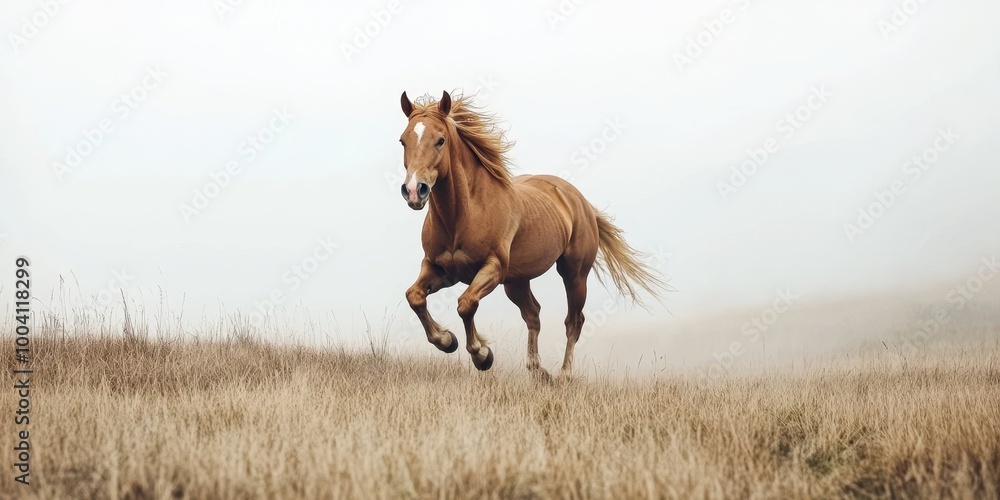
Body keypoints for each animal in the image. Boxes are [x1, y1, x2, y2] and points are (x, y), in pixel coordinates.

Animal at [398, 90, 665, 379]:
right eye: (403, 140)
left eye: (441, 140)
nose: (414, 191)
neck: (465, 213)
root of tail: (578, 200)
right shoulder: (441, 269)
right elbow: (415, 296)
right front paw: (447, 341)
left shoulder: (493, 268)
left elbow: (466, 303)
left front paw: (481, 355)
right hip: (517, 281)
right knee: (533, 314)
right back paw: (538, 371)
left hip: (573, 274)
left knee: (573, 321)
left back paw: (564, 374)